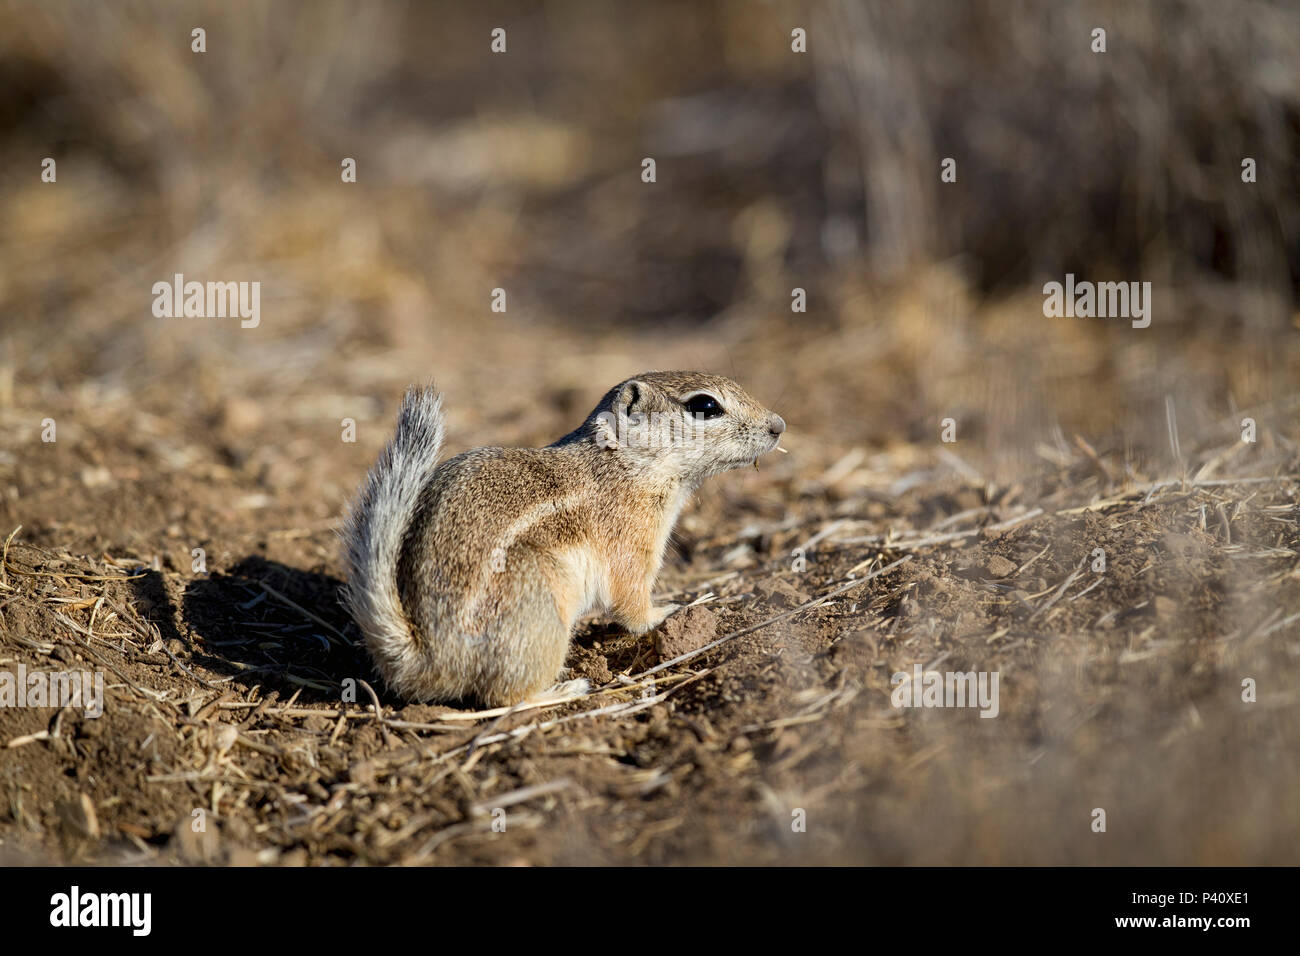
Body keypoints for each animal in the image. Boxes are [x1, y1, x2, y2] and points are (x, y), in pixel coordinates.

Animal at [340, 371, 786, 707]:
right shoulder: (632, 543)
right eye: (705, 406)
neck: (626, 464)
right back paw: (566, 689)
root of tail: (428, 657)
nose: (778, 426)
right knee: (505, 697)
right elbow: (631, 604)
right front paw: (668, 611)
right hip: (540, 600)